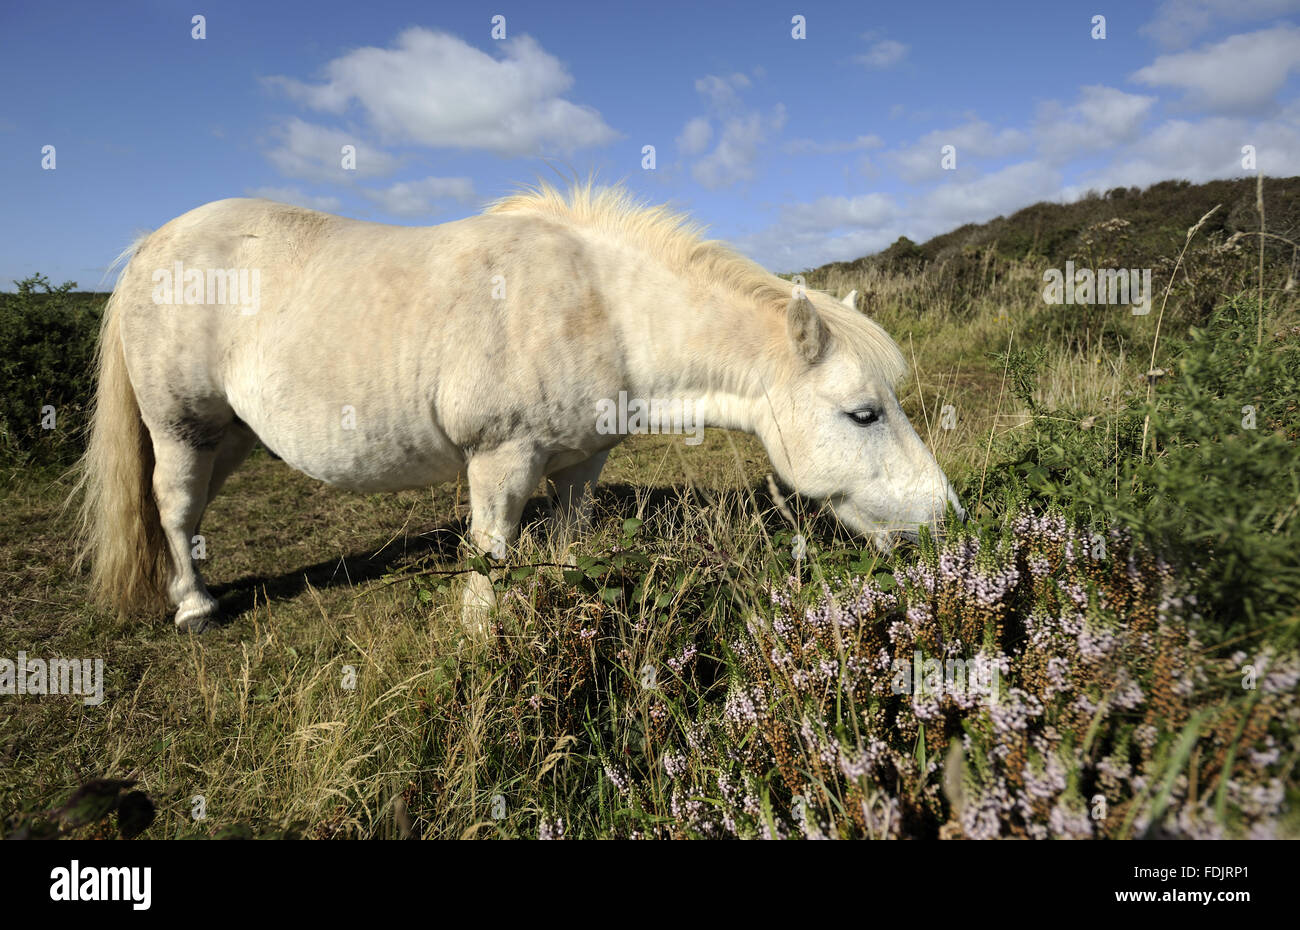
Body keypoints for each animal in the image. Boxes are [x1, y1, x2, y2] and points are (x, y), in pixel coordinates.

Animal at [73, 182, 963, 634]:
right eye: (863, 414)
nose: (946, 519)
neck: (599, 305)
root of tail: (151, 245)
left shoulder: (581, 463)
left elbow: (564, 546)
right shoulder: (500, 461)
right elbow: (491, 563)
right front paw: (481, 641)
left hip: (231, 434)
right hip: (181, 426)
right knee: (173, 504)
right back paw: (194, 607)